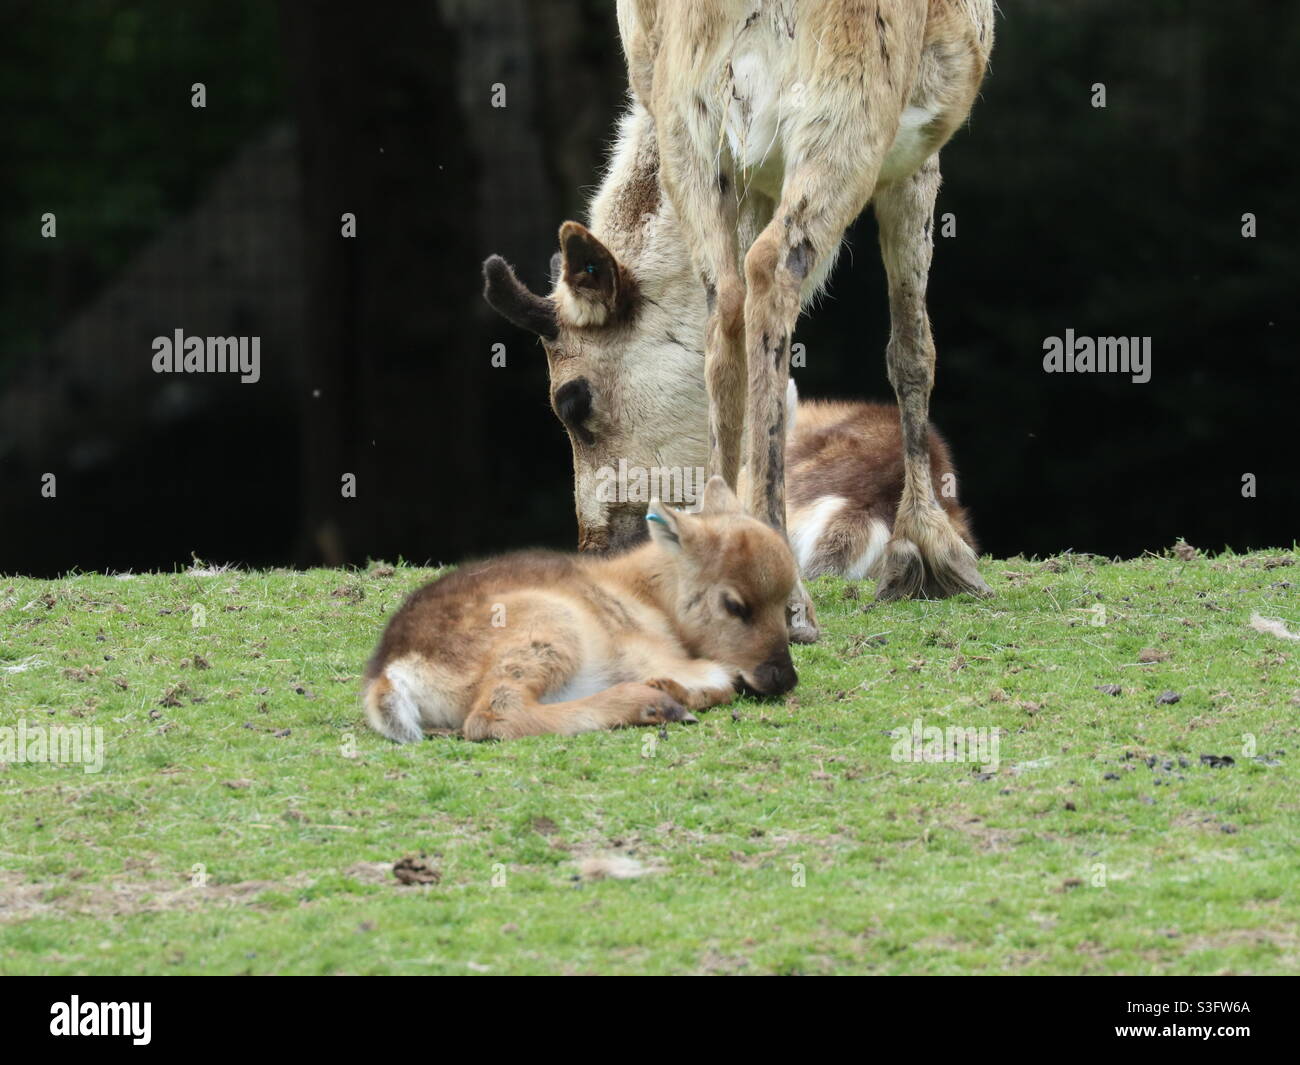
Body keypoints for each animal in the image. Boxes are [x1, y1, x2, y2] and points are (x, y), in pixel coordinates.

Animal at [362, 476, 797, 741]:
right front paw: (667, 689)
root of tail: (389, 675)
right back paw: (656, 705)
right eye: (734, 604)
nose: (785, 677)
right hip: (551, 626)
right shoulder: (645, 653)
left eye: (786, 602)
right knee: (492, 715)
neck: (644, 594)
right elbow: (721, 679)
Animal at [484, 0, 995, 643]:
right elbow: (912, 347)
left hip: (694, 129)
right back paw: (795, 601)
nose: (595, 546)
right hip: (847, 107)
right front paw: (934, 552)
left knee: (726, 299)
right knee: (770, 272)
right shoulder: (915, 154)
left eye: (573, 402)